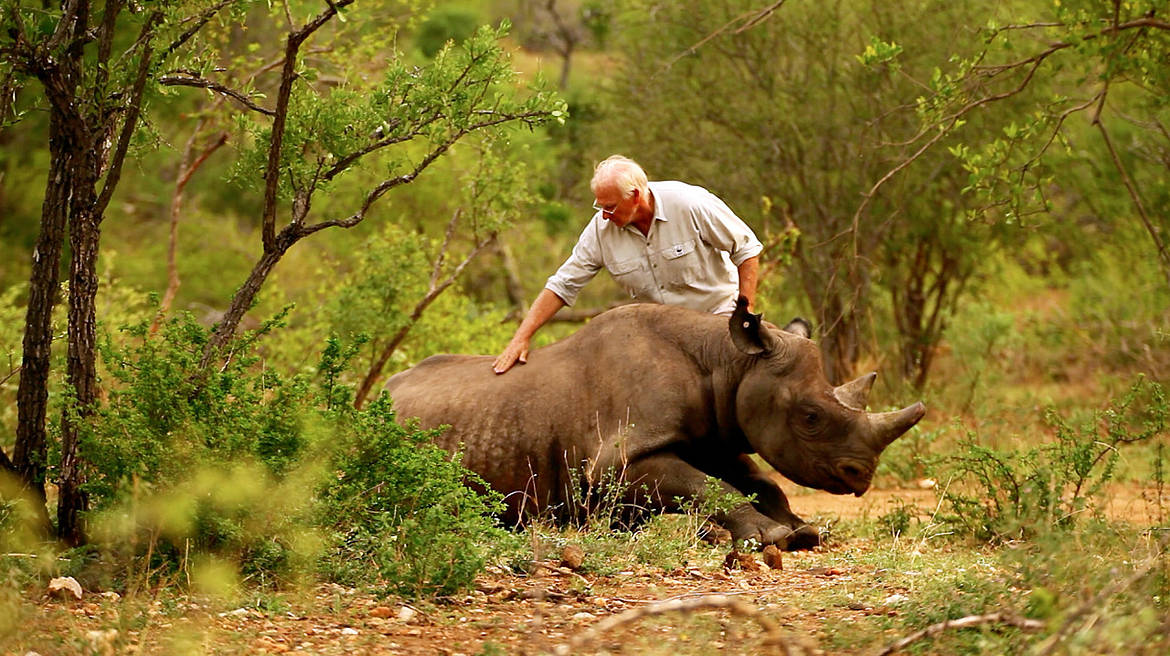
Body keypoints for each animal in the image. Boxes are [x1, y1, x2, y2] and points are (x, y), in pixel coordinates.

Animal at [384, 298, 925, 550]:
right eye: (811, 417)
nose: (861, 476)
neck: (729, 363)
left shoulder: (713, 434)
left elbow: (760, 481)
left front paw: (801, 530)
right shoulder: (618, 459)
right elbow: (706, 485)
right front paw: (771, 536)